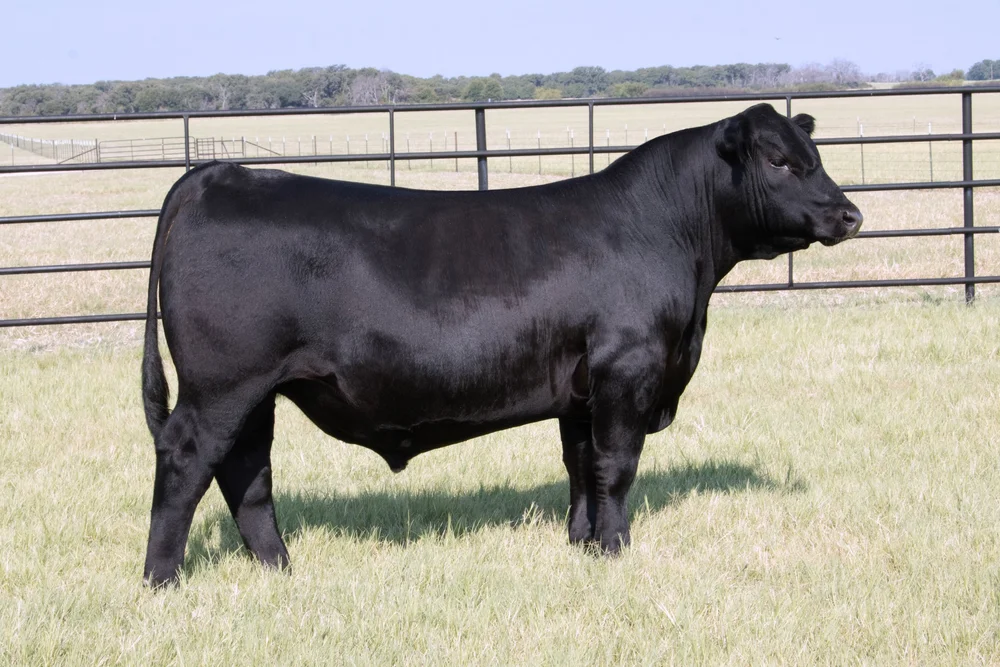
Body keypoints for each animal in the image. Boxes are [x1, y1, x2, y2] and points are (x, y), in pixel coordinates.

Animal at [141, 103, 862, 586]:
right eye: (778, 160)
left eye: (816, 155)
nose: (849, 214)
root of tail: (218, 175)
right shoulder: (627, 367)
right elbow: (617, 465)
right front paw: (616, 550)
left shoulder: (581, 388)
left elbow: (581, 467)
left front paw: (582, 544)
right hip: (222, 384)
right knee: (188, 460)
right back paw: (162, 579)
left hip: (255, 391)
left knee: (247, 472)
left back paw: (280, 568)